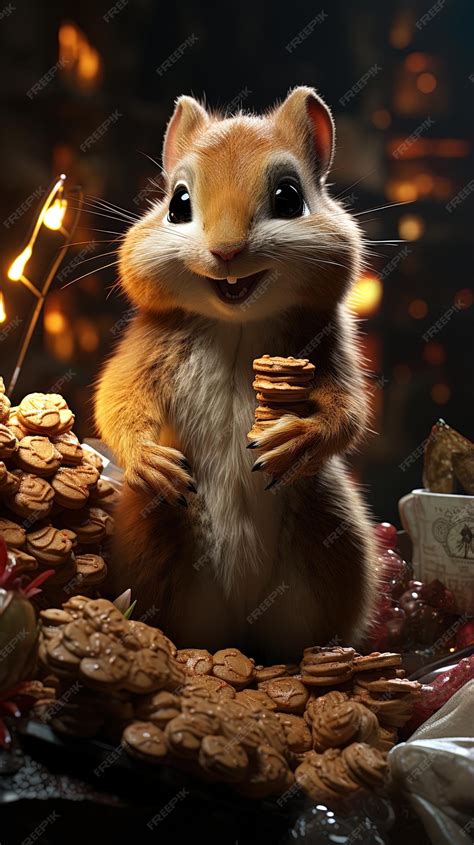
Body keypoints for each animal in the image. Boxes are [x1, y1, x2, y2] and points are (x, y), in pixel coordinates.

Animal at [95, 86, 377, 662]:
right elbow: (117, 400)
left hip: (332, 539)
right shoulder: (145, 346)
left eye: (290, 198)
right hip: (155, 546)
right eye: (177, 204)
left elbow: (347, 410)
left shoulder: (328, 348)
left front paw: (299, 437)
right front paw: (146, 458)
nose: (226, 251)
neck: (237, 323)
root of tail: (241, 628)